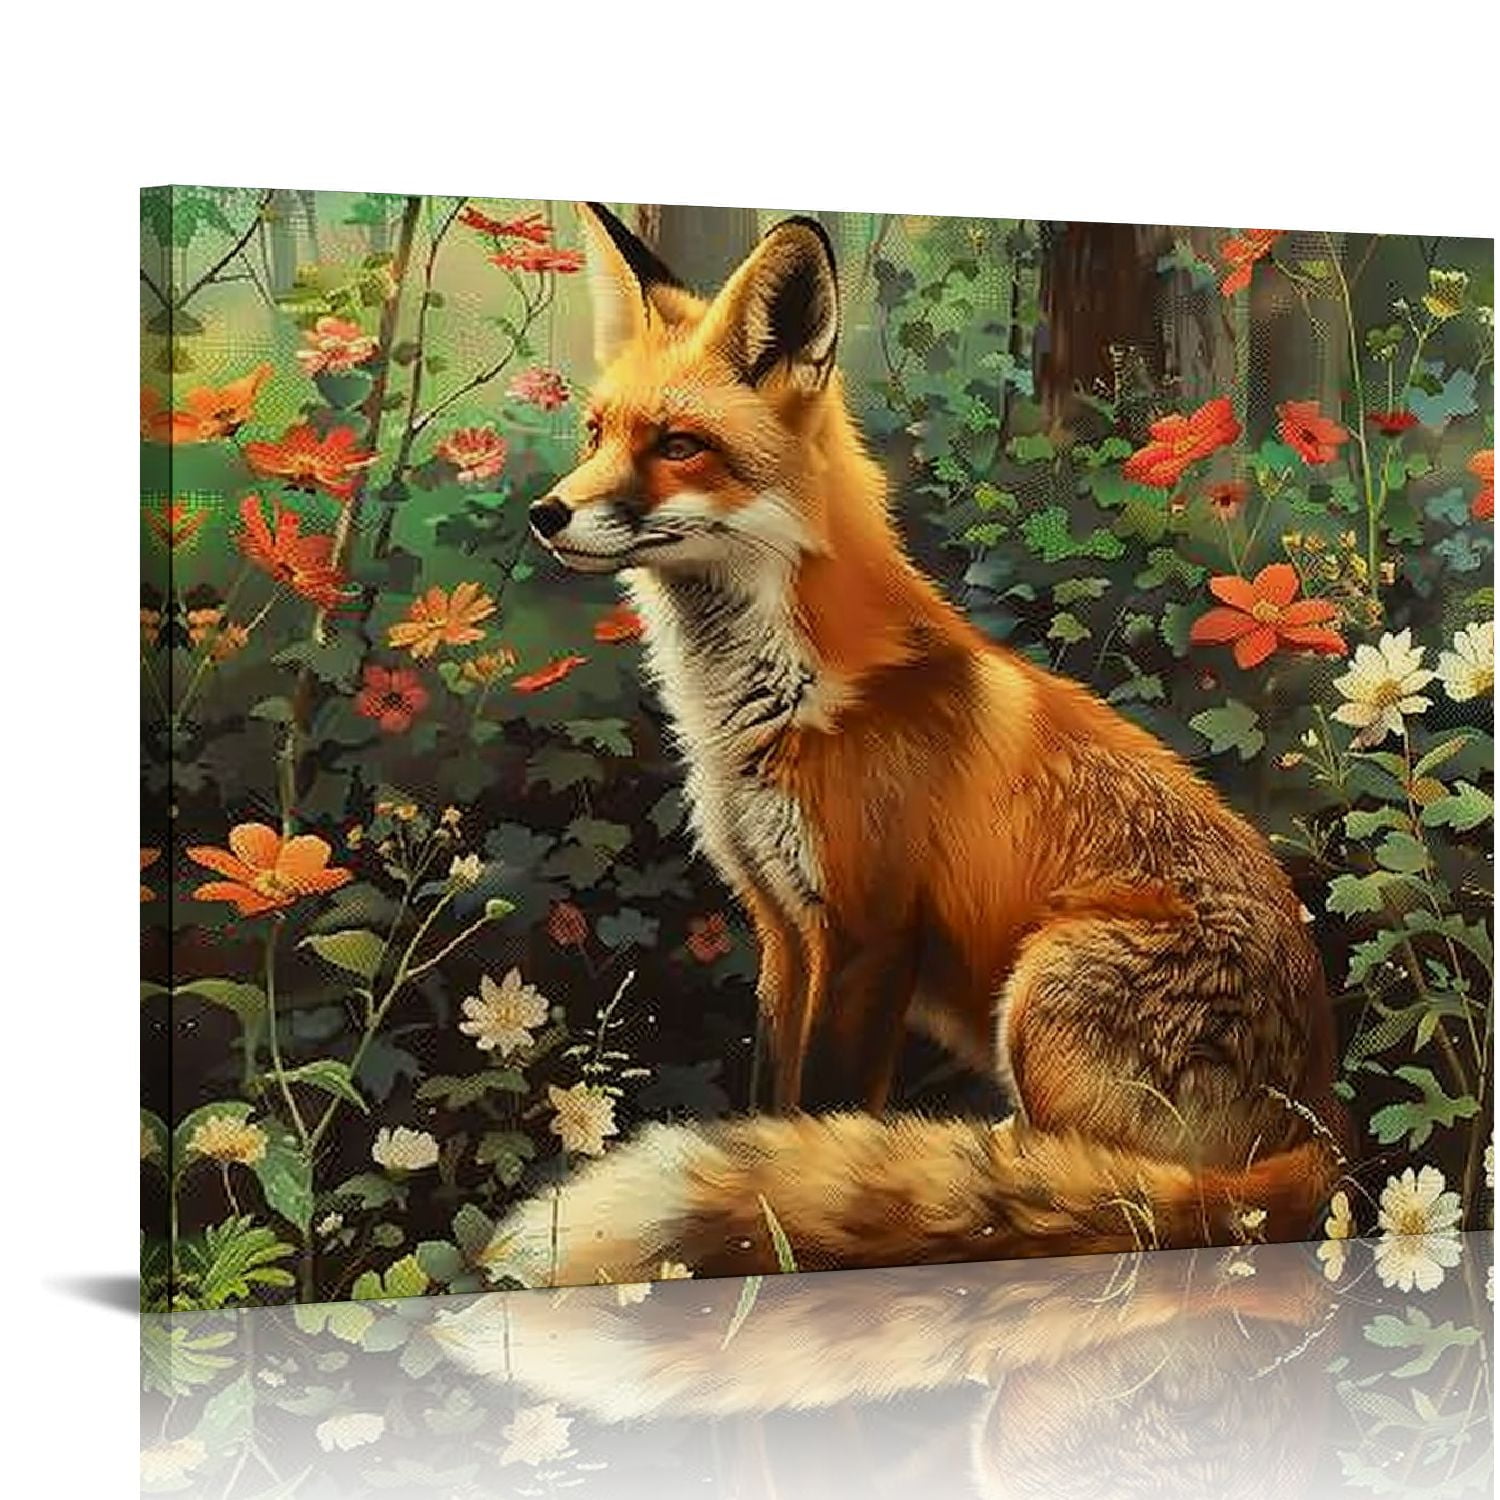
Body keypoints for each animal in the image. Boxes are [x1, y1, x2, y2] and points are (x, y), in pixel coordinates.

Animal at [494, 202, 1347, 1286]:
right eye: (597, 431)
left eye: (680, 444)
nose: (546, 512)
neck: (770, 706)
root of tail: (1322, 1129)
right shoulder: (782, 928)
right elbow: (773, 1103)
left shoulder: (870, 932)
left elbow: (817, 1116)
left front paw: (786, 1243)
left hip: (1043, 989)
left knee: (1099, 1198)